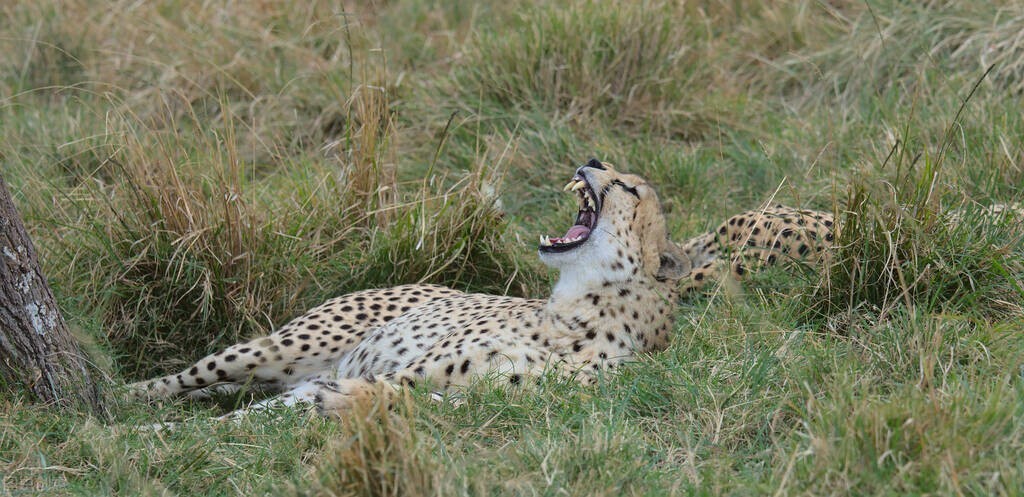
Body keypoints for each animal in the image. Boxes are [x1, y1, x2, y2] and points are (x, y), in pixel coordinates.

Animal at [129, 159, 691, 418]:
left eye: (630, 188)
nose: (591, 161)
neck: (577, 315)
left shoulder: (457, 395)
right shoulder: (405, 374)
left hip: (286, 374)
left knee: (236, 401)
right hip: (279, 349)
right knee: (184, 379)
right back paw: (121, 402)